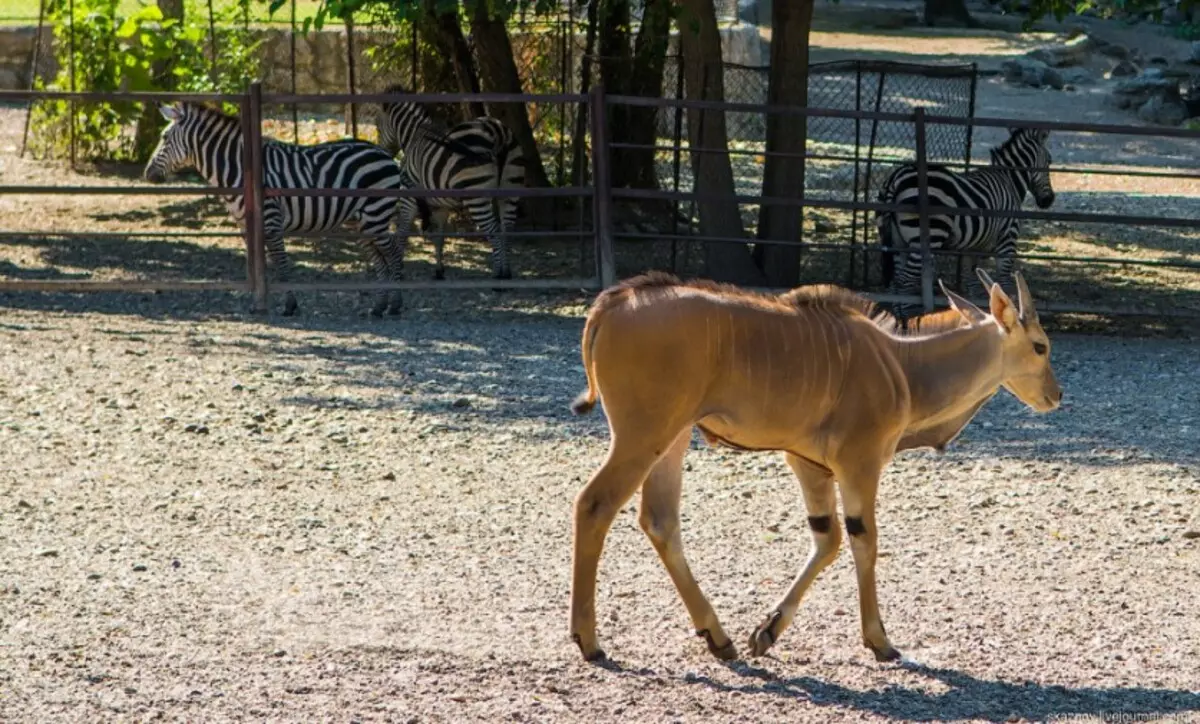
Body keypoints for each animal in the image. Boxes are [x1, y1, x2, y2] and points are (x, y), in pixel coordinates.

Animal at [142, 102, 417, 316]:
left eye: (164, 138)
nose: (147, 174)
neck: (241, 169)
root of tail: (384, 153)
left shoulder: (271, 221)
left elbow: (281, 264)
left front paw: (289, 305)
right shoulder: (247, 226)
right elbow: (257, 267)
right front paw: (257, 304)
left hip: (375, 216)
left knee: (394, 253)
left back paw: (395, 304)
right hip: (358, 223)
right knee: (380, 260)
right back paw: (379, 306)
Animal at [374, 83, 525, 278]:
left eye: (377, 126)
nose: (383, 152)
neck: (415, 136)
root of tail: (496, 131)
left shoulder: (409, 198)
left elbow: (402, 233)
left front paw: (397, 269)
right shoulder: (441, 204)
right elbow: (439, 238)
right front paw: (439, 271)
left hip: (476, 196)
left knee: (495, 231)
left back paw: (498, 275)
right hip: (510, 188)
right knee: (507, 229)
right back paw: (506, 272)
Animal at [566, 267, 1065, 662]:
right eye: (1041, 346)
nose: (1056, 396)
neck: (902, 365)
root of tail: (612, 304)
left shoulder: (807, 464)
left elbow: (828, 539)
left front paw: (766, 632)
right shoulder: (859, 463)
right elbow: (863, 539)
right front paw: (879, 641)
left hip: (671, 439)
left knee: (660, 520)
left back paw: (719, 638)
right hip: (642, 436)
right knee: (593, 504)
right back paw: (589, 640)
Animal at [878, 126, 1056, 316]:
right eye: (1049, 161)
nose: (1049, 201)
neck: (1009, 182)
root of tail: (895, 178)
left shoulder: (972, 247)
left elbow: (973, 282)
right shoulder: (1007, 237)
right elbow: (1005, 282)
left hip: (897, 241)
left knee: (896, 281)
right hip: (927, 235)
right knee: (906, 281)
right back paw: (910, 317)